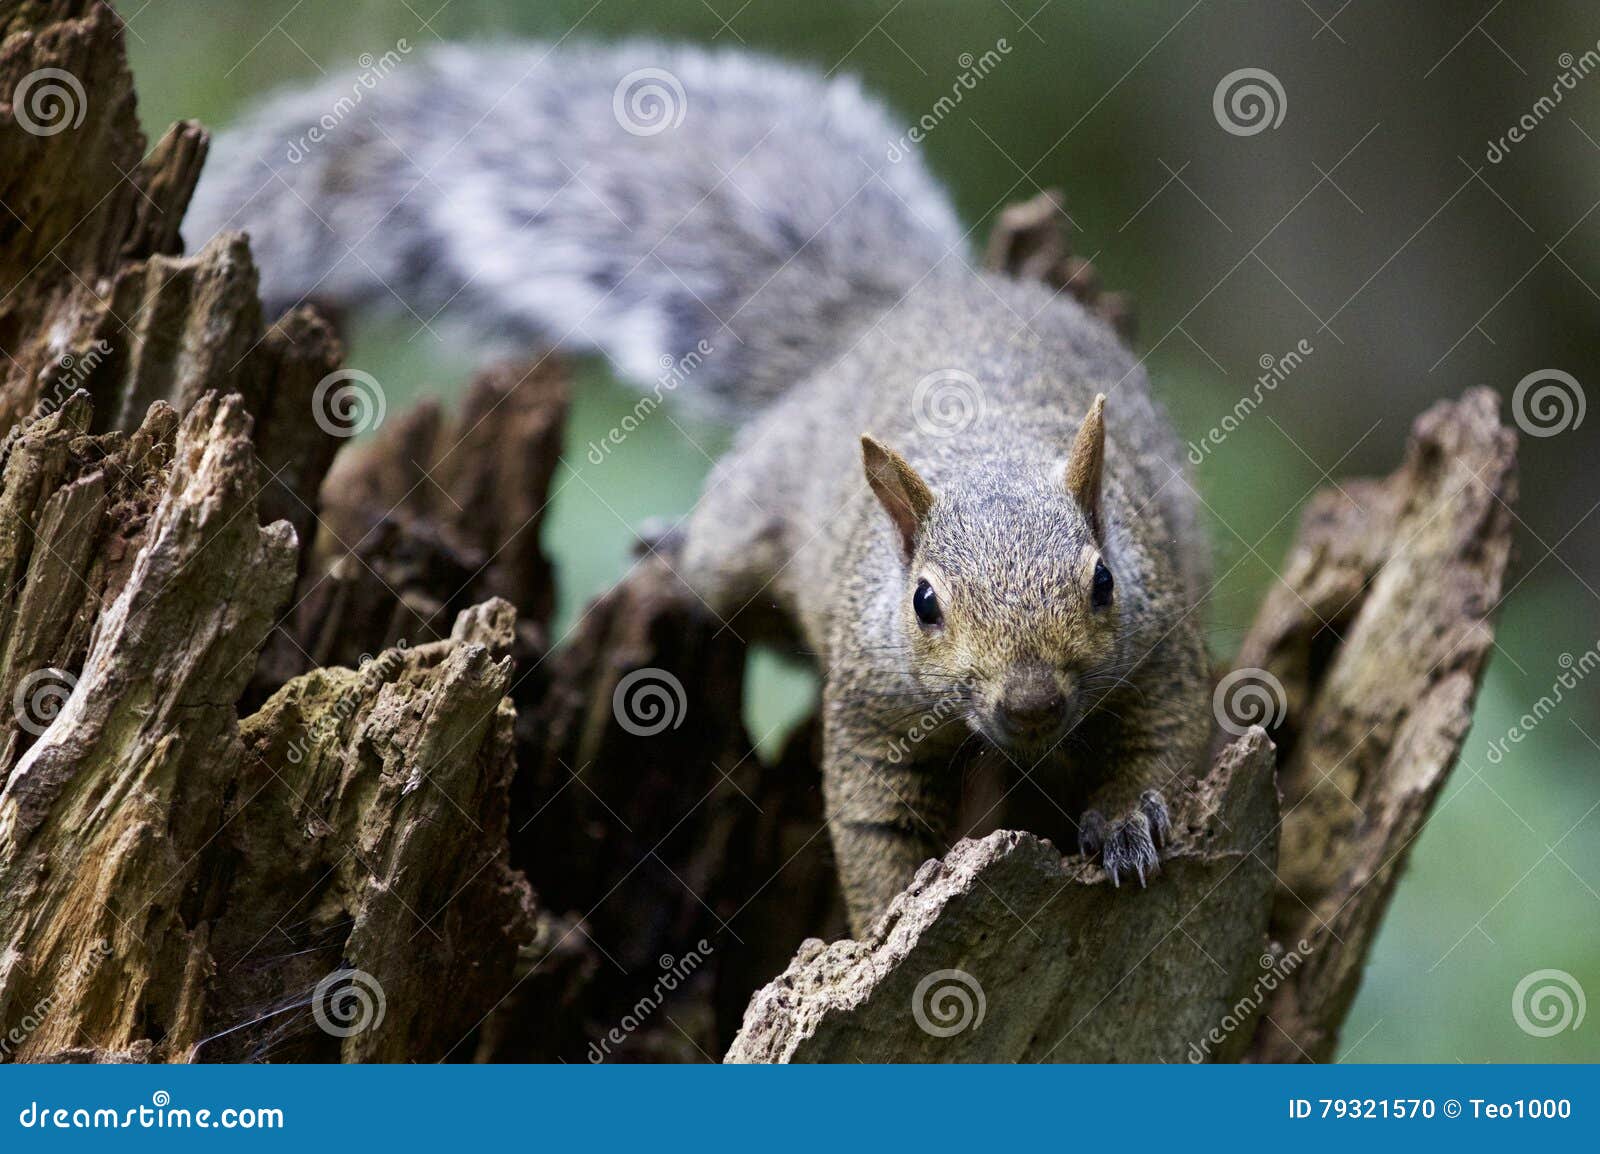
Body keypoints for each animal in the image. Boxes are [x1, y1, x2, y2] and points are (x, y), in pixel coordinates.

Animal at [187, 40, 1214, 934]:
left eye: (1104, 582)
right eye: (924, 602)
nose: (1031, 705)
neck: (991, 442)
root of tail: (905, 313)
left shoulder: (1161, 643)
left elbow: (1165, 743)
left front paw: (1128, 826)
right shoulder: (871, 699)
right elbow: (872, 821)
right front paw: (888, 919)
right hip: (747, 528)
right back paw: (670, 547)